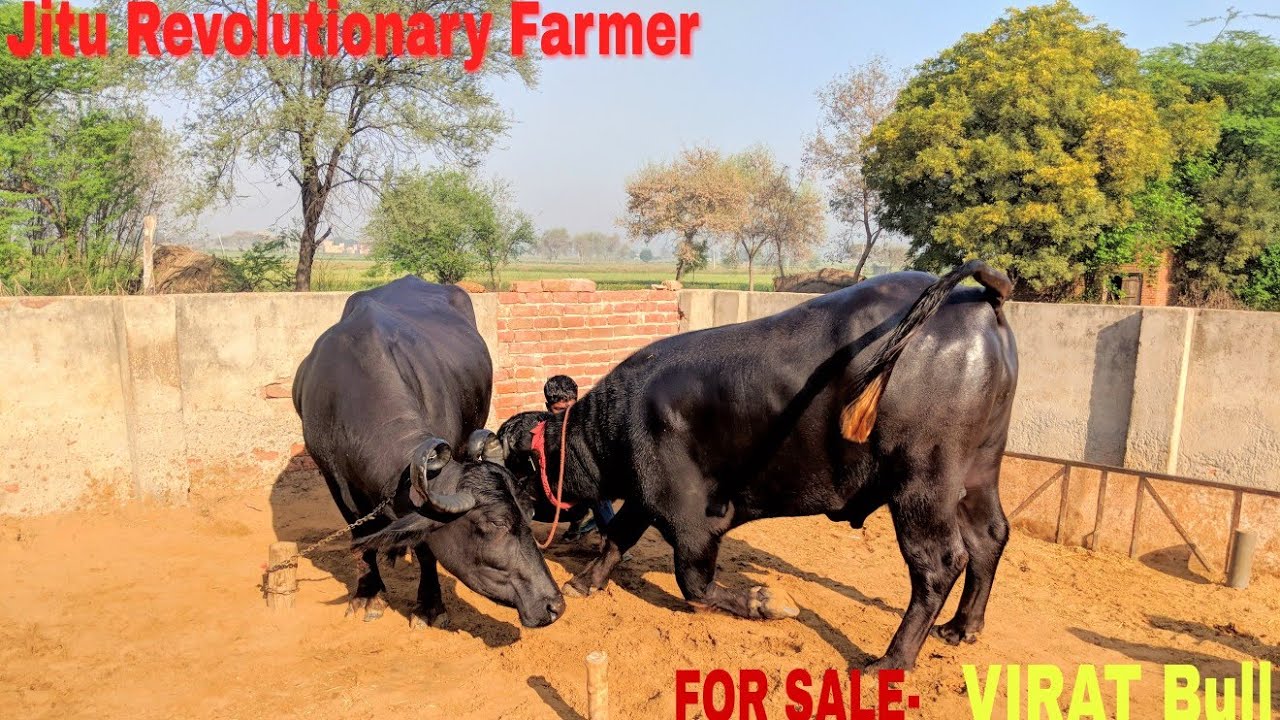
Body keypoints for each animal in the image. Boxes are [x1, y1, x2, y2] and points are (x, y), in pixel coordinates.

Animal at [292, 276, 565, 630]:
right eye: (495, 524)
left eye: (530, 514)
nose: (554, 605)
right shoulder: (332, 477)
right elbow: (361, 535)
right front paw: (368, 593)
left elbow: (424, 546)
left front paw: (430, 607)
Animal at [519, 262, 1017, 669]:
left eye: (519, 465)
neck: (621, 418)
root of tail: (975, 300)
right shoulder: (645, 499)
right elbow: (617, 538)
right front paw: (585, 582)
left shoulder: (690, 521)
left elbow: (693, 584)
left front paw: (767, 602)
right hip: (978, 472)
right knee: (989, 537)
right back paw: (962, 627)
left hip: (922, 482)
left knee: (939, 563)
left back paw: (892, 660)